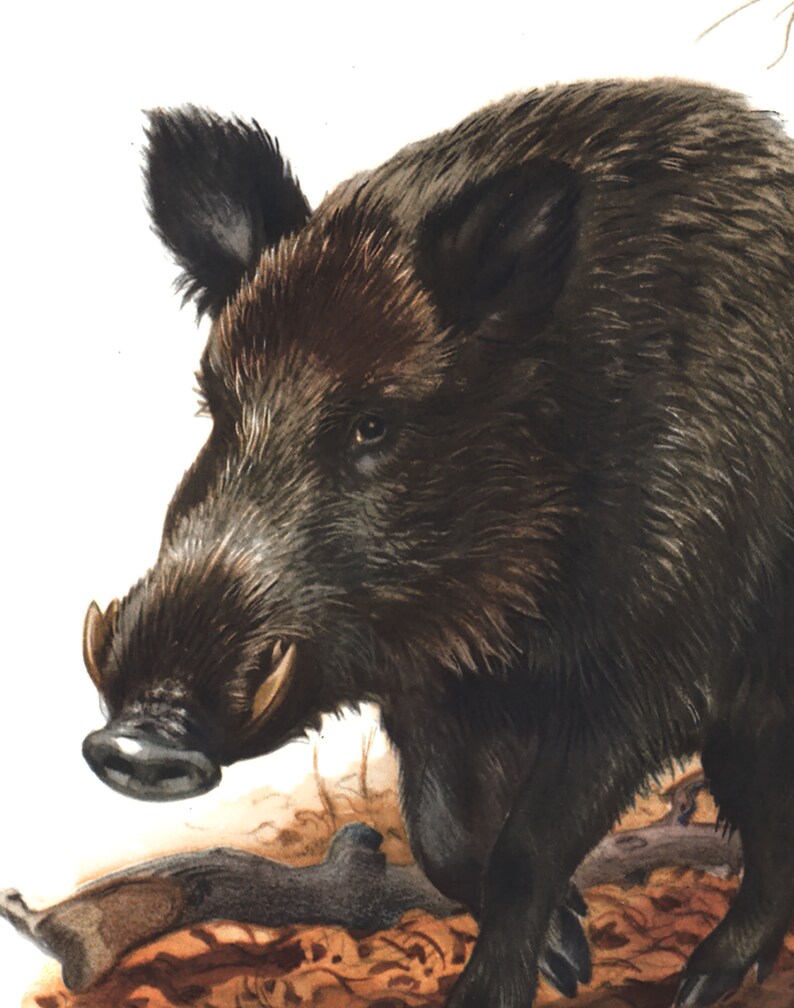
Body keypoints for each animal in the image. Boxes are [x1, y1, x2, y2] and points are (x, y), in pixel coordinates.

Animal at [80, 78, 794, 1008]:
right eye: (215, 405)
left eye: (373, 424)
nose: (137, 738)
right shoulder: (427, 689)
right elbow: (442, 835)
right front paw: (571, 951)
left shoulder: (655, 670)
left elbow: (529, 844)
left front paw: (506, 986)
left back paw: (702, 984)